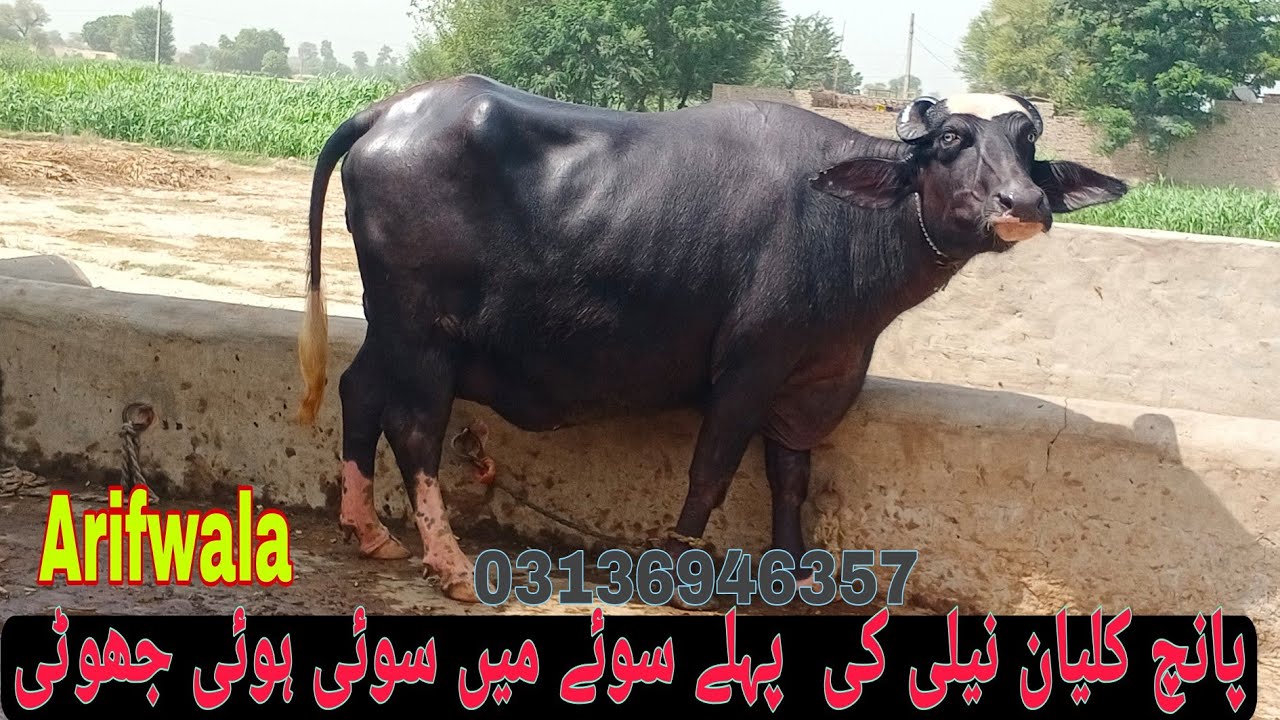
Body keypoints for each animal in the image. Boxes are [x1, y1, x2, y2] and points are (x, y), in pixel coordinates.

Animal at [296, 75, 1128, 603]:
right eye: (953, 137)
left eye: (1027, 141)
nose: (1023, 202)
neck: (843, 222)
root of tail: (386, 113)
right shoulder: (750, 367)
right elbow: (714, 468)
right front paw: (677, 564)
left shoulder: (815, 378)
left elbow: (791, 472)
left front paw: (795, 571)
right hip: (424, 332)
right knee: (414, 426)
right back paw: (451, 566)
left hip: (388, 325)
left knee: (358, 391)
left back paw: (368, 531)